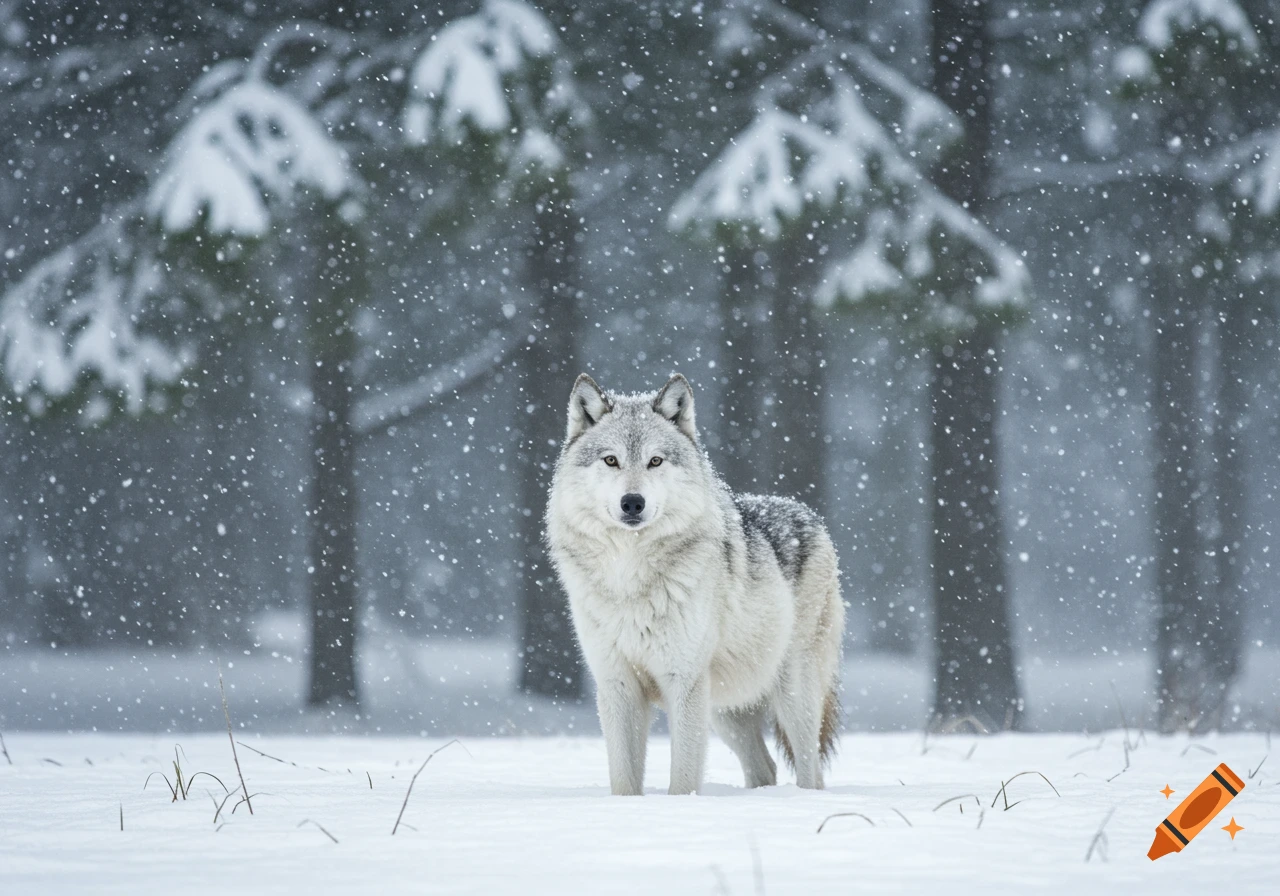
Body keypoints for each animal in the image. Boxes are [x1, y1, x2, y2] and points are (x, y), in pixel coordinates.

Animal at [545, 373, 845, 795]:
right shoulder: (617, 684)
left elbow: (684, 776)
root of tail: (809, 514)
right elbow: (623, 778)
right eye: (611, 460)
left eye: (655, 460)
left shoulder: (683, 681)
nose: (632, 503)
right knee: (765, 767)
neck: (630, 577)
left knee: (810, 770)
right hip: (723, 708)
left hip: (791, 693)